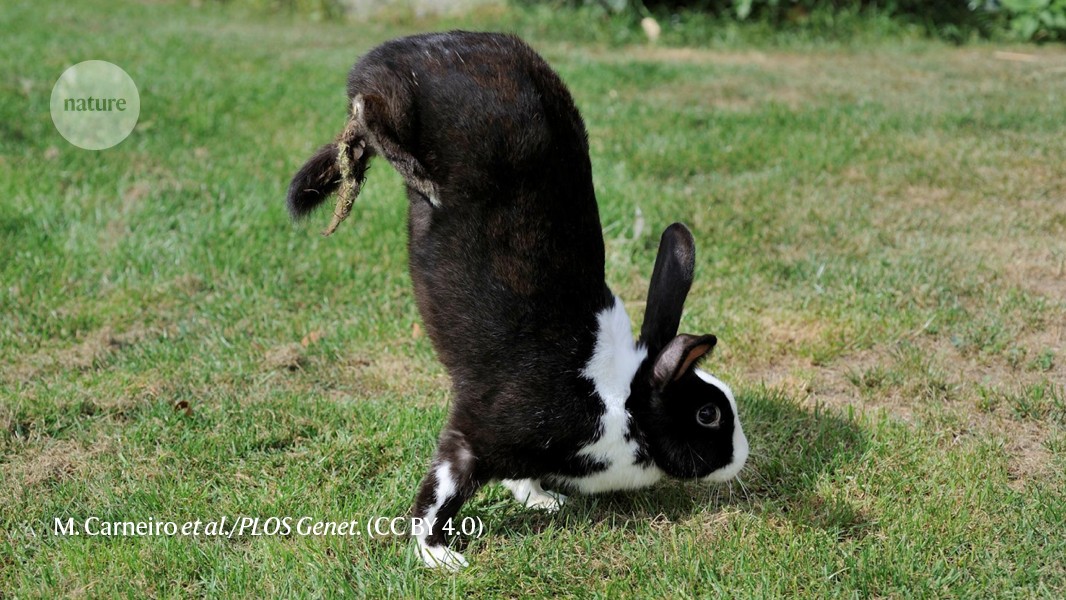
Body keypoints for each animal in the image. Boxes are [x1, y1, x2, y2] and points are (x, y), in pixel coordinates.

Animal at [285, 31, 748, 570]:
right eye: (707, 415)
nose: (741, 457)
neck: (621, 400)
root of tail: (403, 48)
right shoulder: (476, 437)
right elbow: (442, 492)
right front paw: (438, 556)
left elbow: (518, 477)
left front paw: (543, 500)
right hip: (404, 104)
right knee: (370, 110)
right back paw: (412, 173)